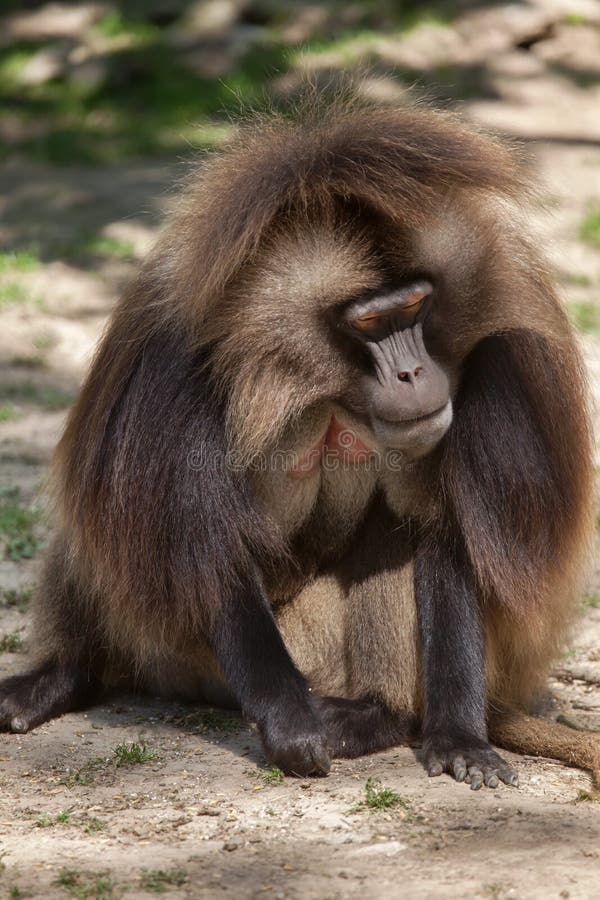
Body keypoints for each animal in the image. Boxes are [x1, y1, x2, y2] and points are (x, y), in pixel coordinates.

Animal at [0, 95, 598, 790]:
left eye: (416, 306)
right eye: (370, 322)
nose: (413, 375)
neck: (309, 385)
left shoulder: (492, 367)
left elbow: (442, 532)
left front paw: (458, 737)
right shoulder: (169, 354)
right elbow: (211, 554)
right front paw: (291, 726)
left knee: (394, 539)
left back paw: (377, 715)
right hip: (180, 652)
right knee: (102, 527)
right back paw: (60, 678)